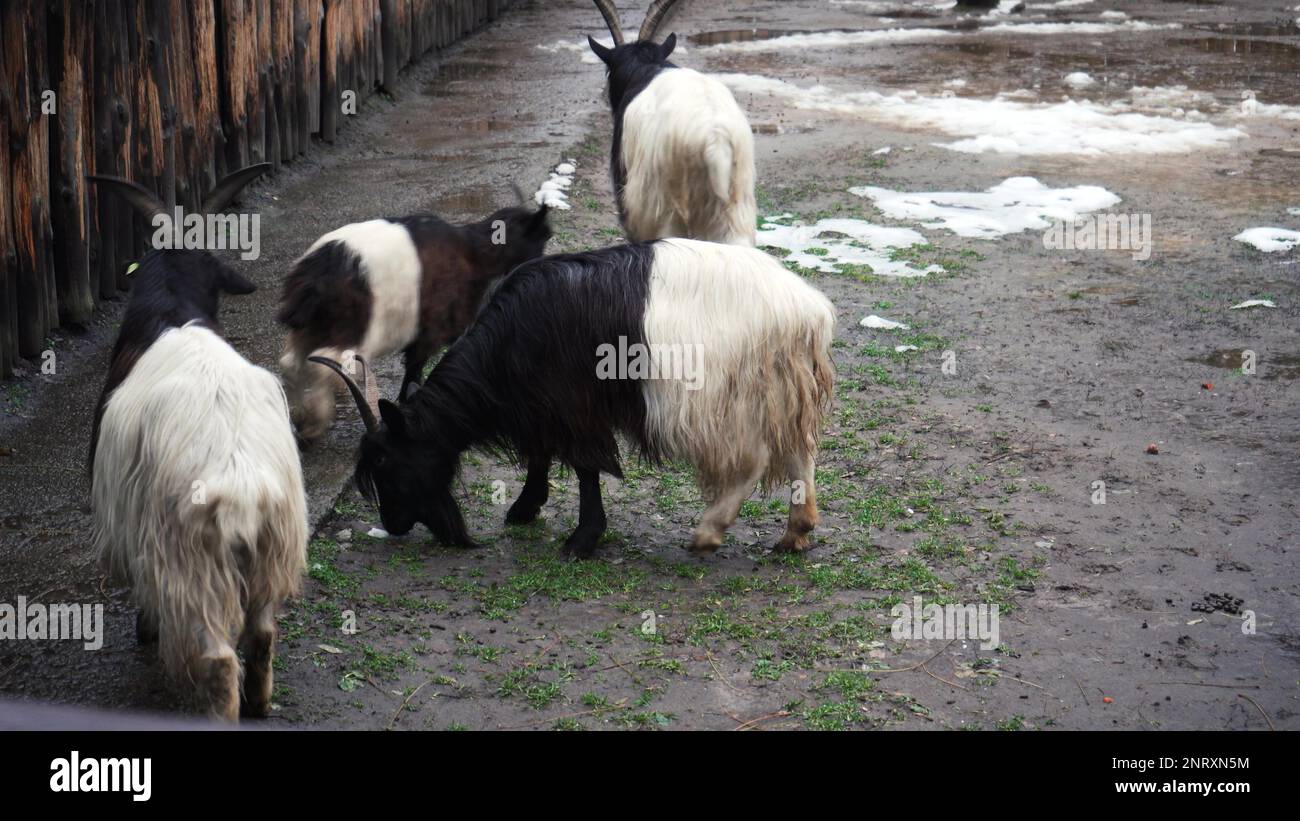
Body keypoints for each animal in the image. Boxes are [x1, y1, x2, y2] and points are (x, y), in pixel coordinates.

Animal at [88, 166, 308, 723]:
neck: (173, 309)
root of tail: (242, 490)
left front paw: (144, 631)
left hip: (189, 562)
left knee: (217, 659)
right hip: (273, 549)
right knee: (262, 633)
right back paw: (259, 703)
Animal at [277, 200, 552, 443]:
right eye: (540, 241)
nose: (540, 267)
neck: (475, 252)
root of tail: (314, 274)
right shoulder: (434, 327)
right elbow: (415, 367)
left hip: (313, 327)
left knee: (291, 362)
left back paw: (301, 417)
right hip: (350, 327)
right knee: (322, 364)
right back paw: (316, 421)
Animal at [316, 238, 834, 558]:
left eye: (389, 462)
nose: (394, 523)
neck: (507, 341)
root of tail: (804, 311)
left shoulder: (574, 407)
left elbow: (584, 466)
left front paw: (581, 539)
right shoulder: (544, 408)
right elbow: (540, 453)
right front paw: (525, 508)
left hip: (717, 401)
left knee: (752, 460)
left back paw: (708, 532)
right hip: (780, 392)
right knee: (799, 454)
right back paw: (796, 531)